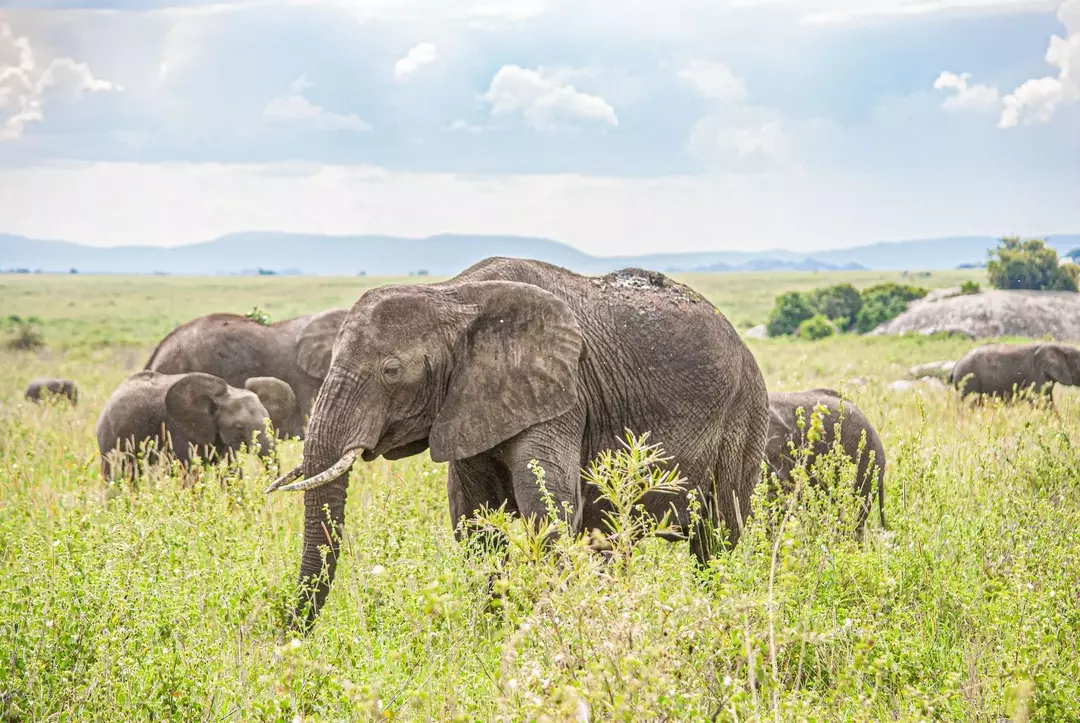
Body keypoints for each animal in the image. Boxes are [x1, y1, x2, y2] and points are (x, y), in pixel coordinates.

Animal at [265, 256, 773, 626]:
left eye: (392, 370)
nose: (289, 632)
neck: (454, 296)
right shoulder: (466, 407)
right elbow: (474, 520)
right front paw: (495, 630)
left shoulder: (563, 394)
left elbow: (549, 508)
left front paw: (548, 630)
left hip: (745, 410)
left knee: (717, 538)